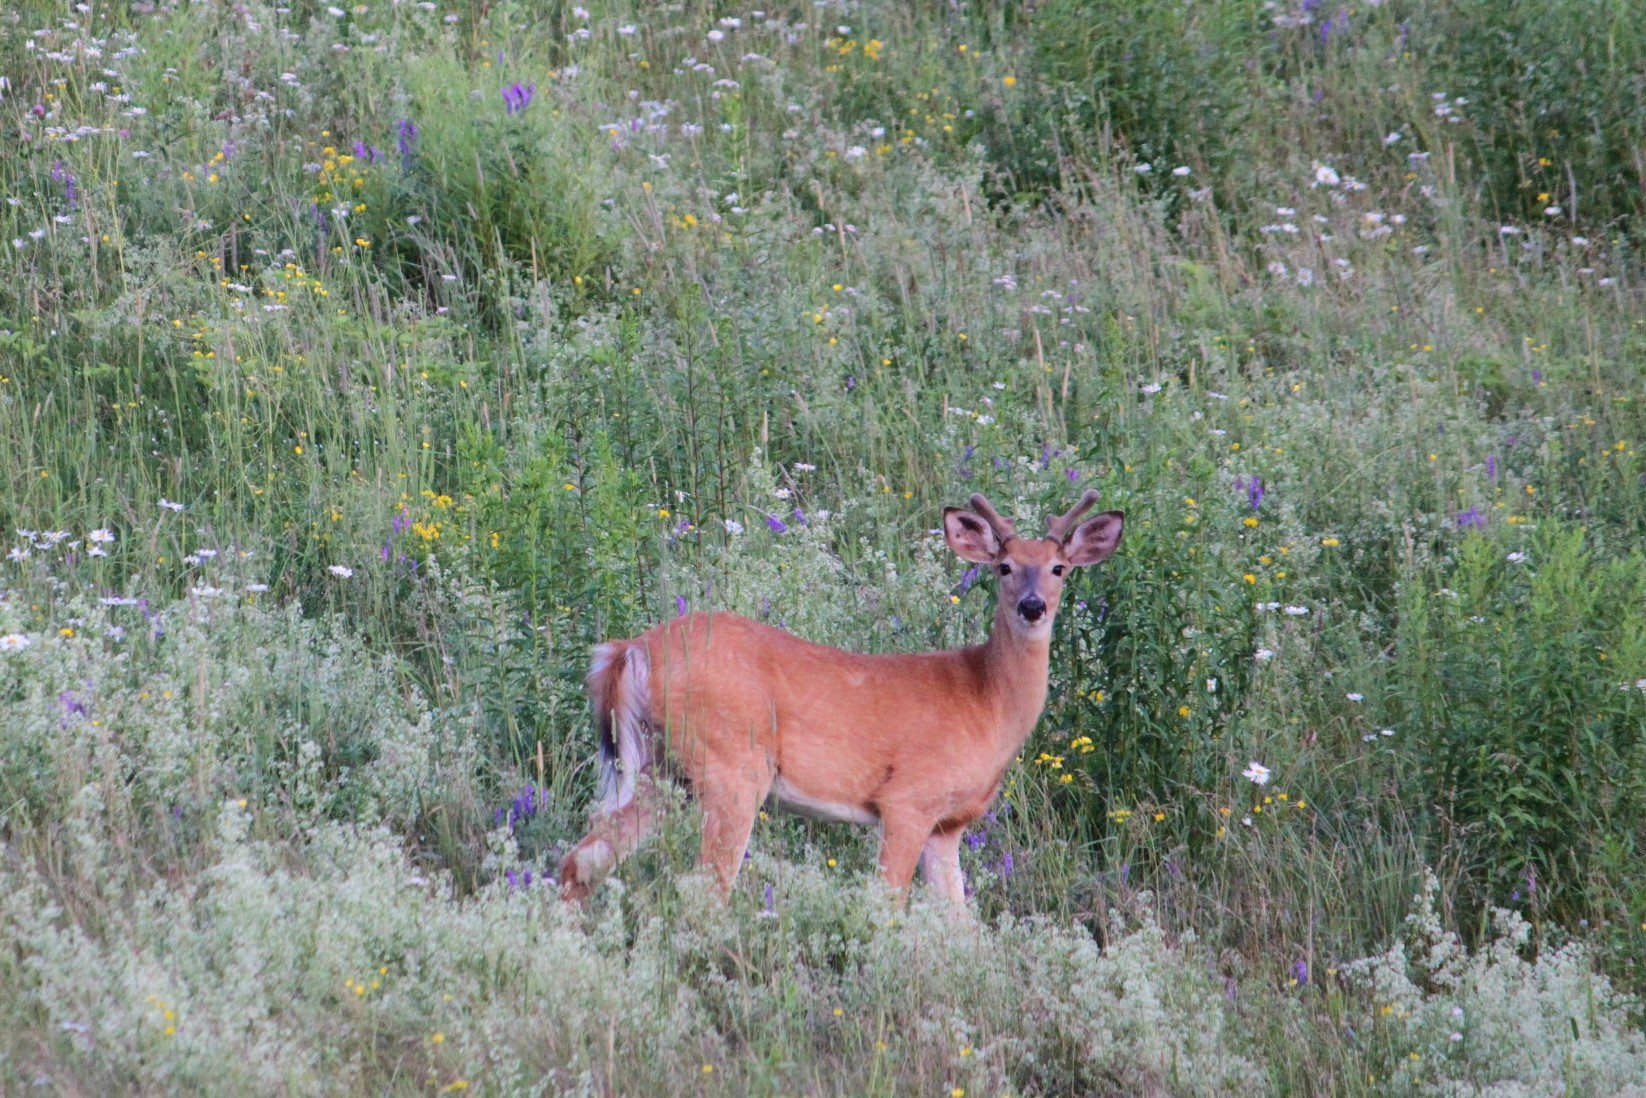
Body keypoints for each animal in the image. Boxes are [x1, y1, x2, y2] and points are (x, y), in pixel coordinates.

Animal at [557, 489, 1124, 908]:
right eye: (1004, 566)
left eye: (1058, 568)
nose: (1032, 606)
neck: (985, 700)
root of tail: (630, 649)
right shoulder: (908, 799)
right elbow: (887, 904)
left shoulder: (948, 826)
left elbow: (962, 930)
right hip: (731, 764)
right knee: (705, 889)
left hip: (662, 768)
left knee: (583, 859)